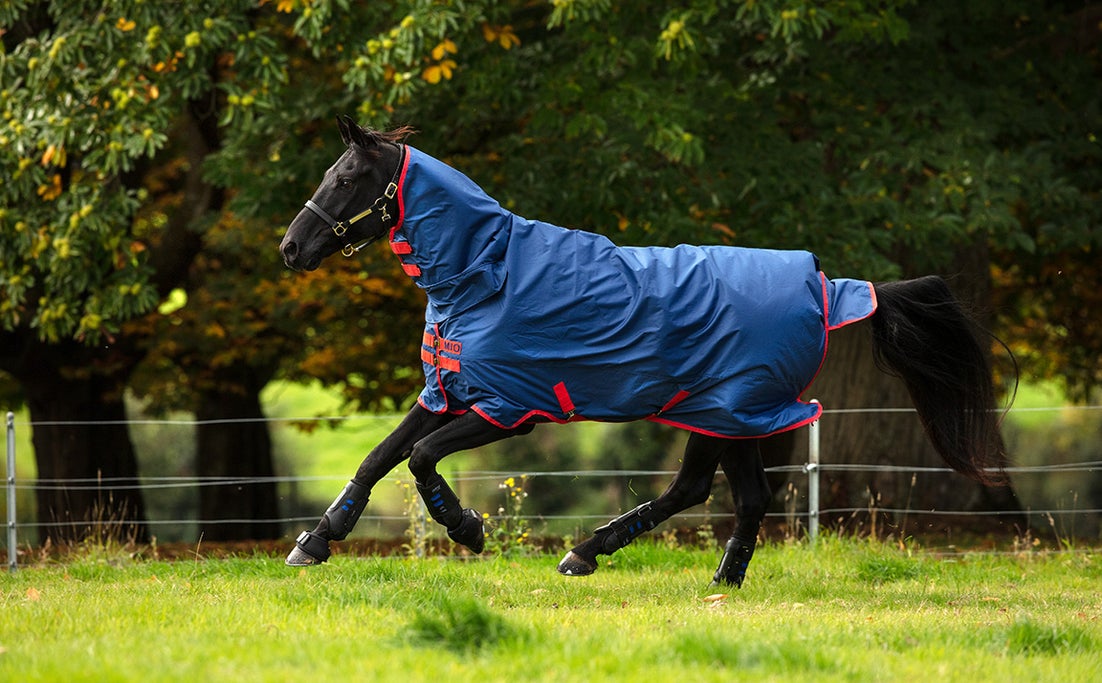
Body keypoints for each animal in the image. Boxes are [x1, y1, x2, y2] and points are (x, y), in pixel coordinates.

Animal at [278, 116, 1010, 587]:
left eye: (346, 177)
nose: (290, 248)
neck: (487, 272)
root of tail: (828, 287)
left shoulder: (510, 408)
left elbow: (422, 458)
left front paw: (468, 529)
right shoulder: (447, 392)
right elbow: (380, 456)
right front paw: (316, 540)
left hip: (728, 410)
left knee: (715, 491)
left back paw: (605, 557)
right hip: (726, 416)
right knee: (728, 494)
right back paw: (695, 572)